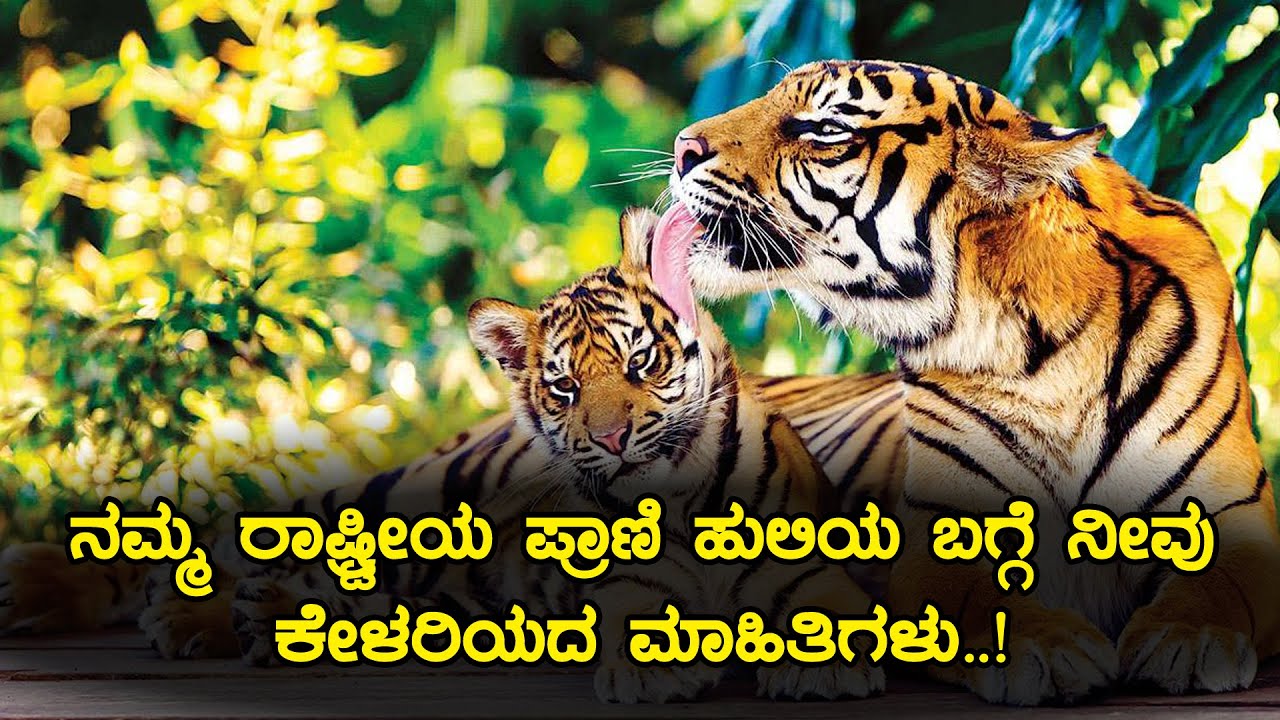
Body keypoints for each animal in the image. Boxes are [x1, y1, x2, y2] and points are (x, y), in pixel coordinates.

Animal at [0, 206, 902, 704]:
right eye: (565, 387)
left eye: (642, 361)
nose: (612, 439)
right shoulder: (627, 584)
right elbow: (642, 614)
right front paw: (656, 671)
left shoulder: (813, 568)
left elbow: (825, 612)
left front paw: (824, 670)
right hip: (411, 492)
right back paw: (71, 591)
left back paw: (239, 617)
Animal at [646, 58, 1280, 705]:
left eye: (824, 128)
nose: (682, 148)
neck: (1045, 352)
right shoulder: (943, 542)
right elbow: (987, 603)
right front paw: (1051, 649)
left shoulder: (1236, 522)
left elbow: (1217, 588)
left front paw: (1187, 638)